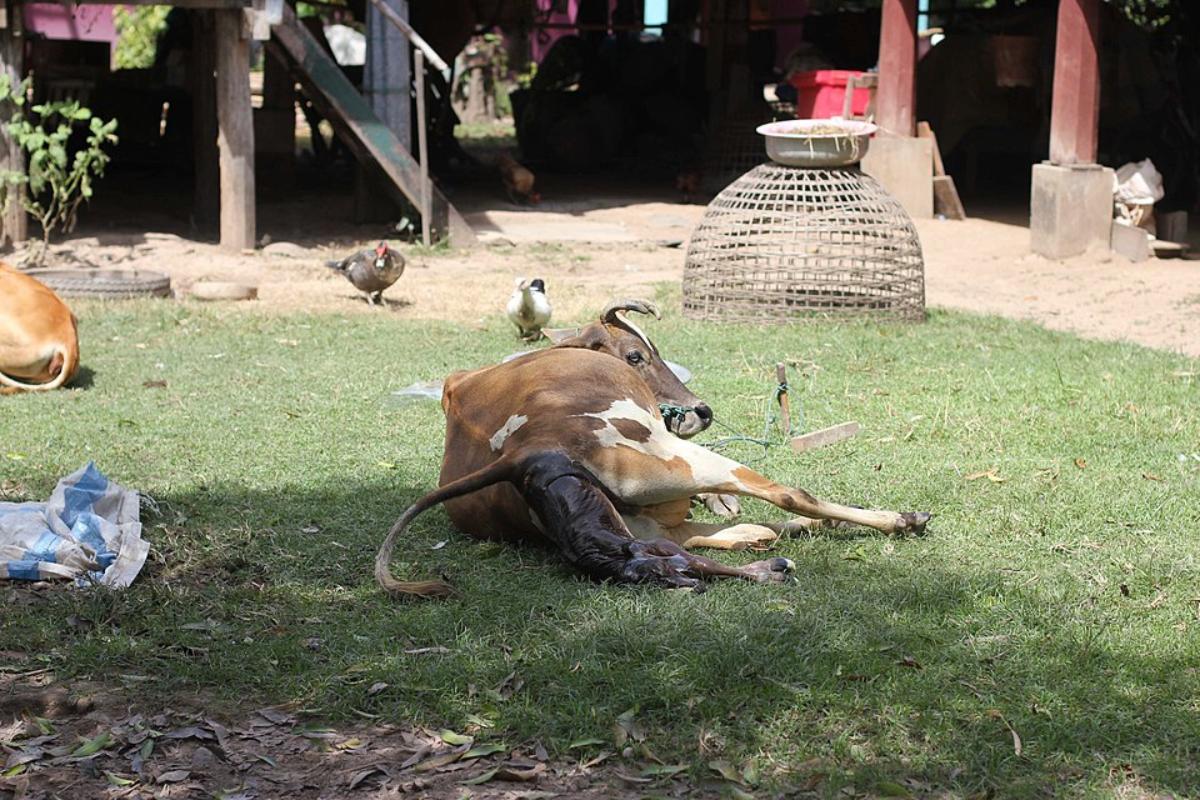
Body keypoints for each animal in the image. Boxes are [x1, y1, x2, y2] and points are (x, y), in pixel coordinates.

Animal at [375, 300, 929, 597]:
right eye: (637, 354)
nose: (702, 410)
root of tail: (526, 453)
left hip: (645, 519)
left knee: (712, 542)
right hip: (678, 460)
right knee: (789, 498)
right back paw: (894, 520)